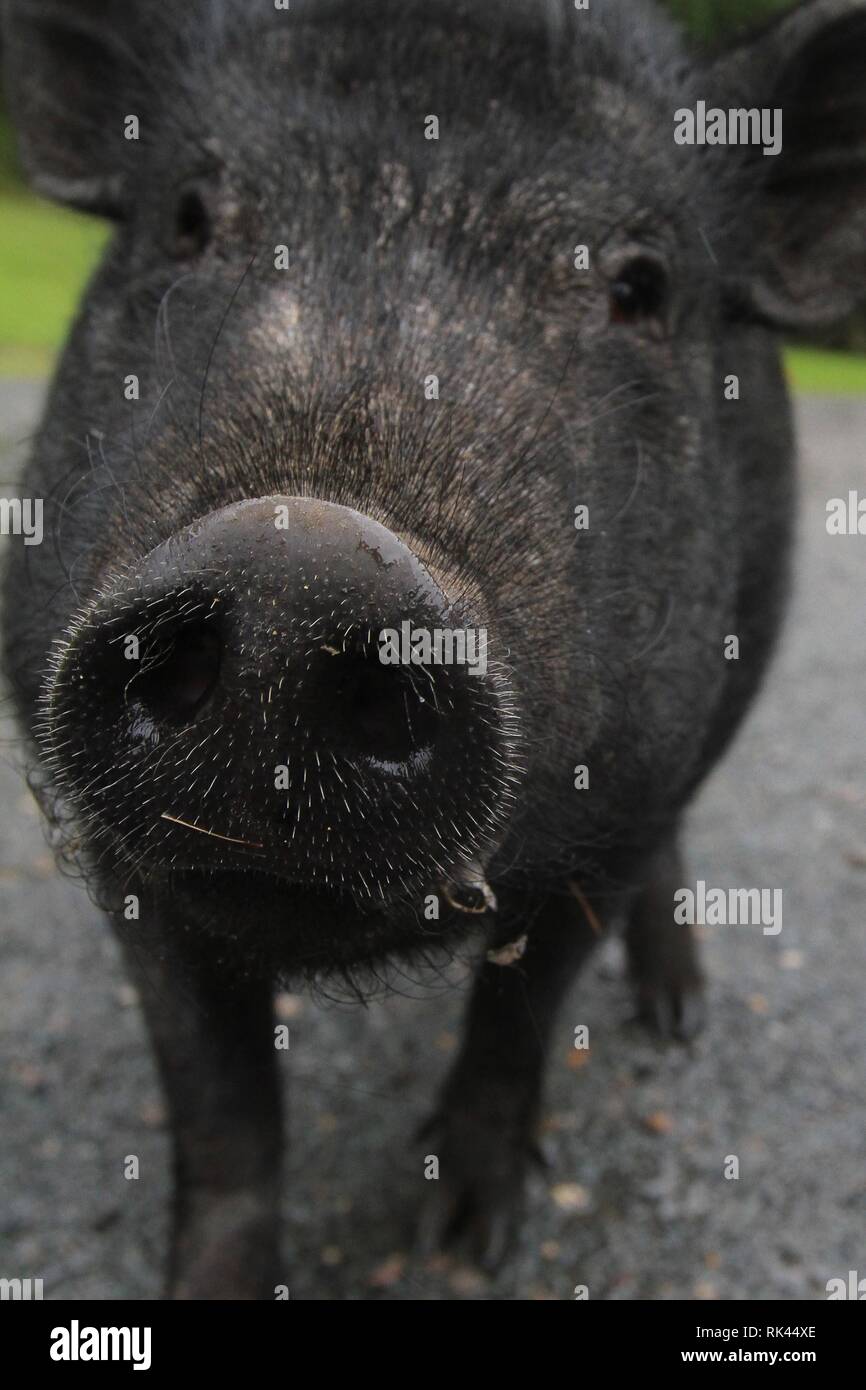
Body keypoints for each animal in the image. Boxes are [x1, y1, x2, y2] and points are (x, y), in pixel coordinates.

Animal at [2, 0, 864, 1299]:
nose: (296, 565)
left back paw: (674, 1023)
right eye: (188, 215)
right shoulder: (106, 842)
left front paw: (462, 1244)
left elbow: (519, 1014)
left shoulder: (619, 804)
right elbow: (220, 1106)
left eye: (640, 285)